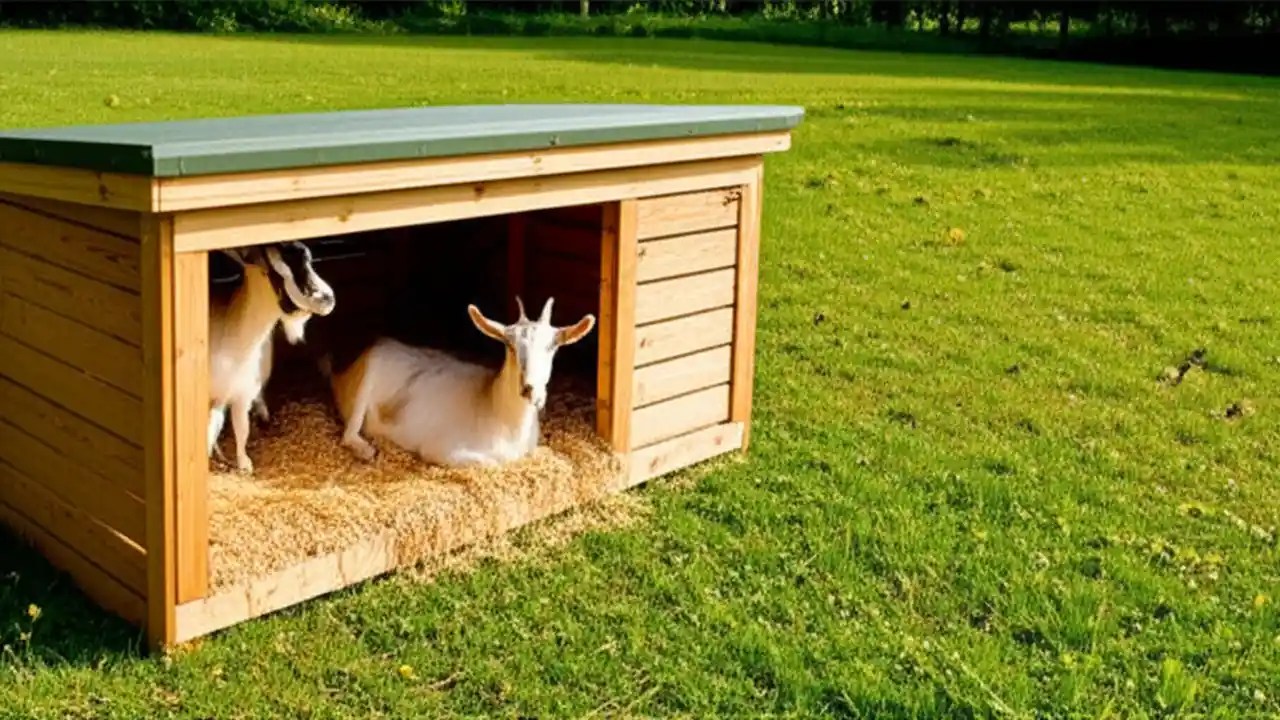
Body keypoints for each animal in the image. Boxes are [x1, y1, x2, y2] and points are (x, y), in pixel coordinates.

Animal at [209, 242, 336, 473]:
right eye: (273, 273)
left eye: (308, 259)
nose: (327, 299)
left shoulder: (241, 393)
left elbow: (241, 428)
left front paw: (244, 464)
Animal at [325, 297, 595, 467]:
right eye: (509, 346)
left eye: (553, 347)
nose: (531, 390)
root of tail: (341, 375)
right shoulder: (440, 449)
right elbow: (494, 463)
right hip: (367, 379)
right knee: (349, 433)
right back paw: (366, 450)